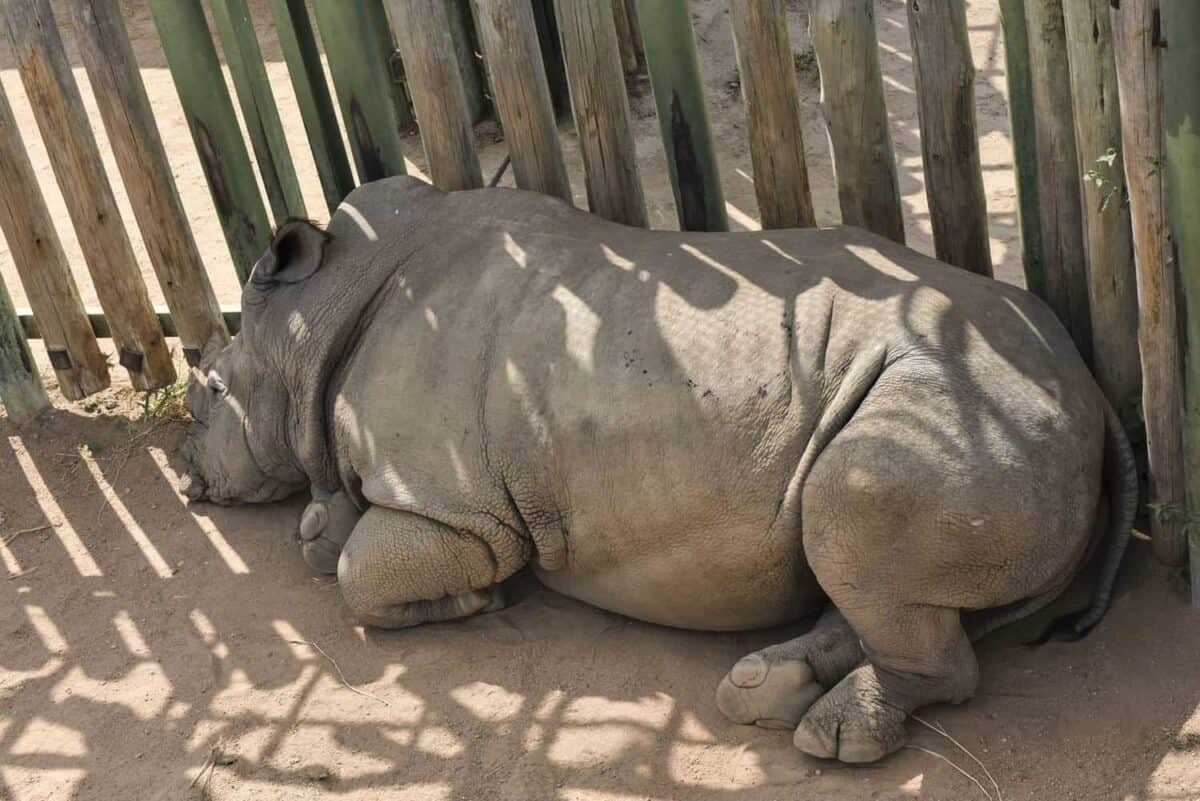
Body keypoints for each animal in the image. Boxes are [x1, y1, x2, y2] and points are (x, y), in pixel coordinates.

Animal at [180, 176, 1135, 764]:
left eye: (210, 394)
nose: (187, 476)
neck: (317, 313)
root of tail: (1093, 394)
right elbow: (332, 534)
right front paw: (318, 523)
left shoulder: (463, 514)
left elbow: (357, 576)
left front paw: (469, 602)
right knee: (877, 577)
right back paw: (767, 689)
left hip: (973, 409)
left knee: (856, 515)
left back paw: (830, 739)